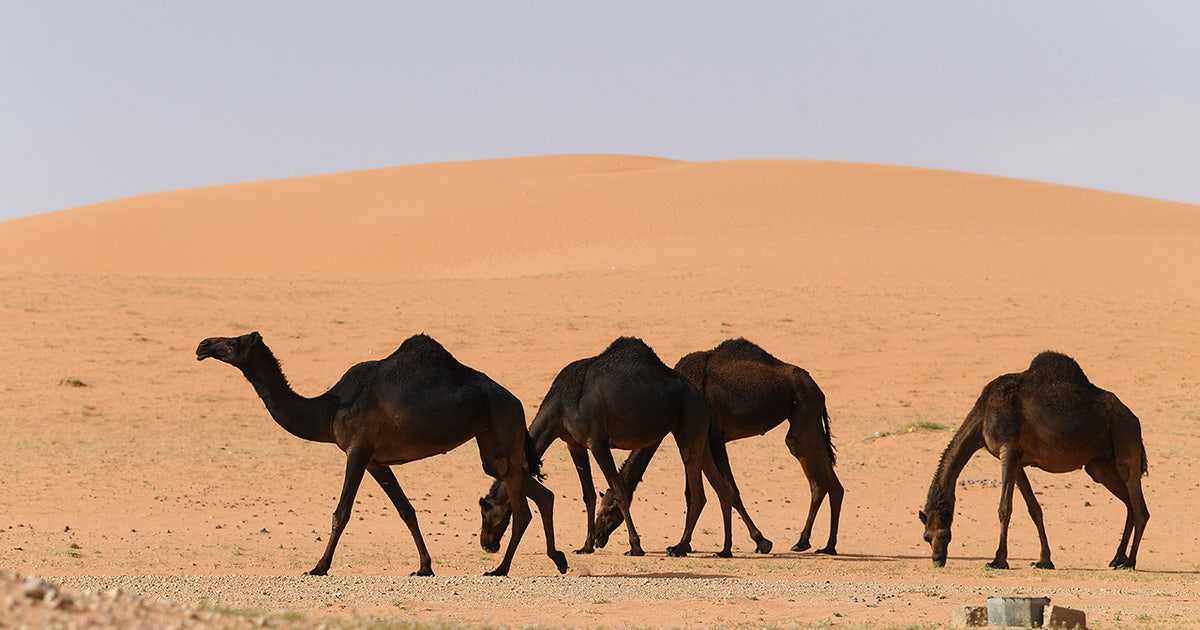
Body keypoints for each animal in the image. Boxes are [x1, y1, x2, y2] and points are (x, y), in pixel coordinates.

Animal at [196, 331, 568, 577]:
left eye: (233, 342)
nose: (203, 346)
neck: (327, 409)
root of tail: (517, 401)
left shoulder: (358, 450)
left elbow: (341, 512)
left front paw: (319, 567)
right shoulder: (376, 461)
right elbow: (406, 511)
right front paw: (424, 567)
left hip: (503, 428)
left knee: (522, 507)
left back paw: (501, 569)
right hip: (491, 443)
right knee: (538, 491)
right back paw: (558, 559)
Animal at [478, 336, 738, 557]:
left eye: (486, 512)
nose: (486, 543)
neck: (561, 405)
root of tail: (700, 397)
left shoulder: (598, 443)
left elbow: (619, 492)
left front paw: (635, 546)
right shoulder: (574, 444)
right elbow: (589, 494)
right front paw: (585, 546)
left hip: (688, 428)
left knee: (698, 493)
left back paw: (680, 547)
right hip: (699, 435)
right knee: (721, 488)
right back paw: (724, 549)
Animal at [591, 338, 844, 556]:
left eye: (608, 510)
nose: (597, 537)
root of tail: (818, 389)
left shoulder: (713, 436)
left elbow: (729, 491)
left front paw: (760, 542)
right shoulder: (703, 438)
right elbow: (703, 491)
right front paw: (687, 545)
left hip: (802, 417)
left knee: (813, 474)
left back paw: (805, 542)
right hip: (811, 422)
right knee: (833, 484)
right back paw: (825, 545)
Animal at [920, 351, 1149, 570]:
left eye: (945, 535)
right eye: (926, 537)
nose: (937, 560)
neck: (983, 416)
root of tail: (1133, 417)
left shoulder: (1008, 449)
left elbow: (1004, 508)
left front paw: (998, 560)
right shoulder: (1016, 460)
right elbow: (1034, 509)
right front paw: (1044, 560)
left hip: (1125, 436)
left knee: (1139, 508)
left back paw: (1129, 563)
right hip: (1099, 465)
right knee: (1129, 504)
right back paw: (1117, 558)